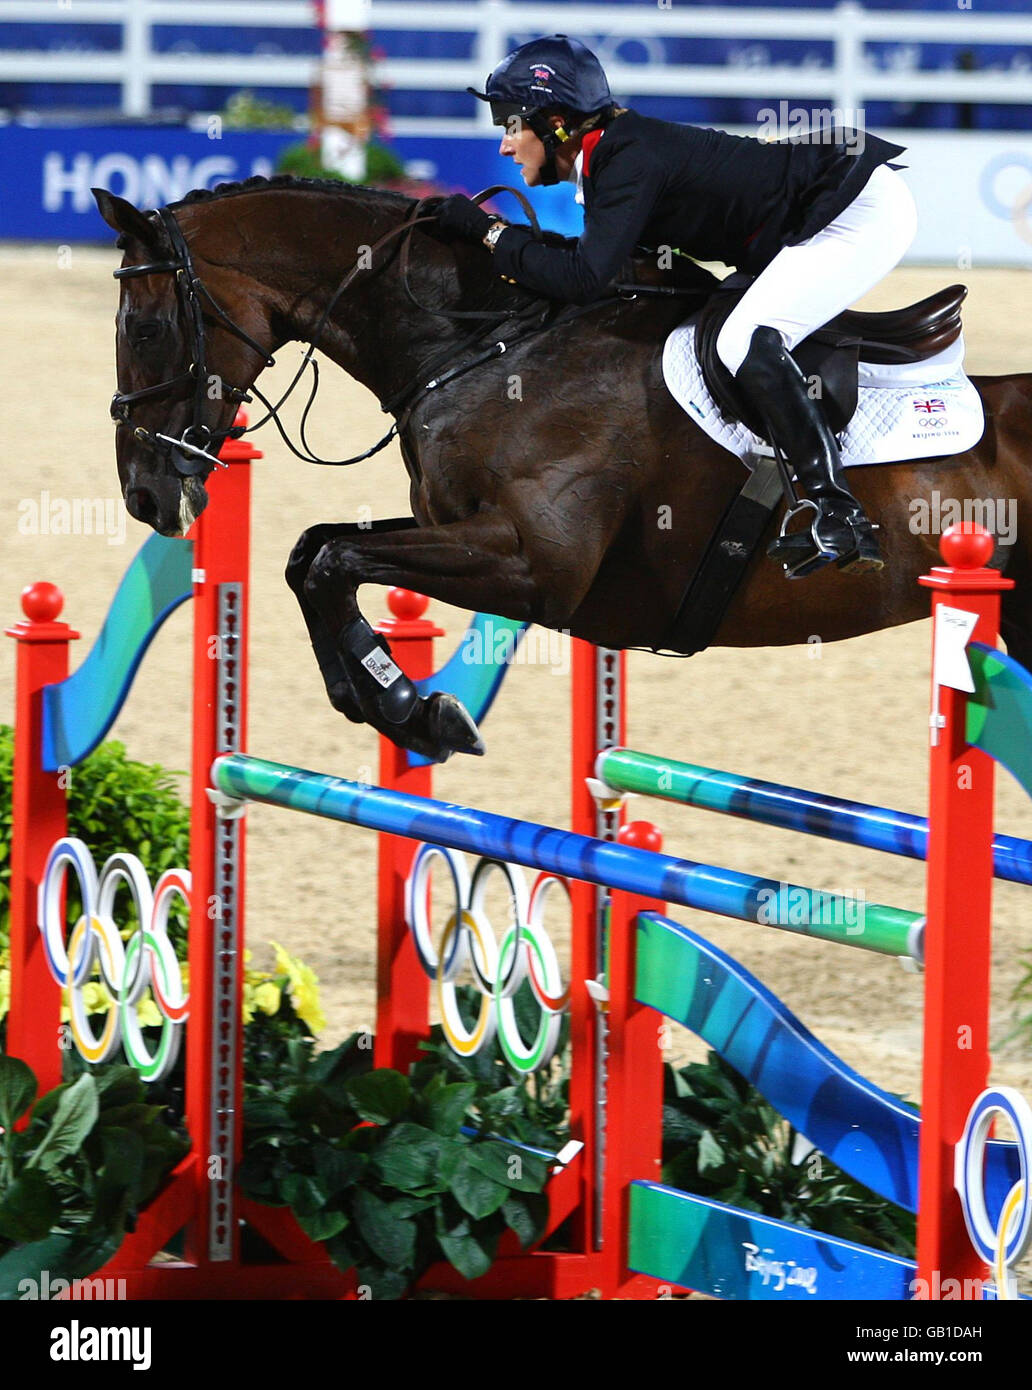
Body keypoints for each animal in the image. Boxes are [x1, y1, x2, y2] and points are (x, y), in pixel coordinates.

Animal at [93, 177, 1032, 763]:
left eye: (144, 329)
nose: (143, 494)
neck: (487, 343)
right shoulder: (458, 528)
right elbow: (309, 553)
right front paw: (402, 710)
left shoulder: (535, 566)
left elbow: (333, 559)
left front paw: (412, 712)